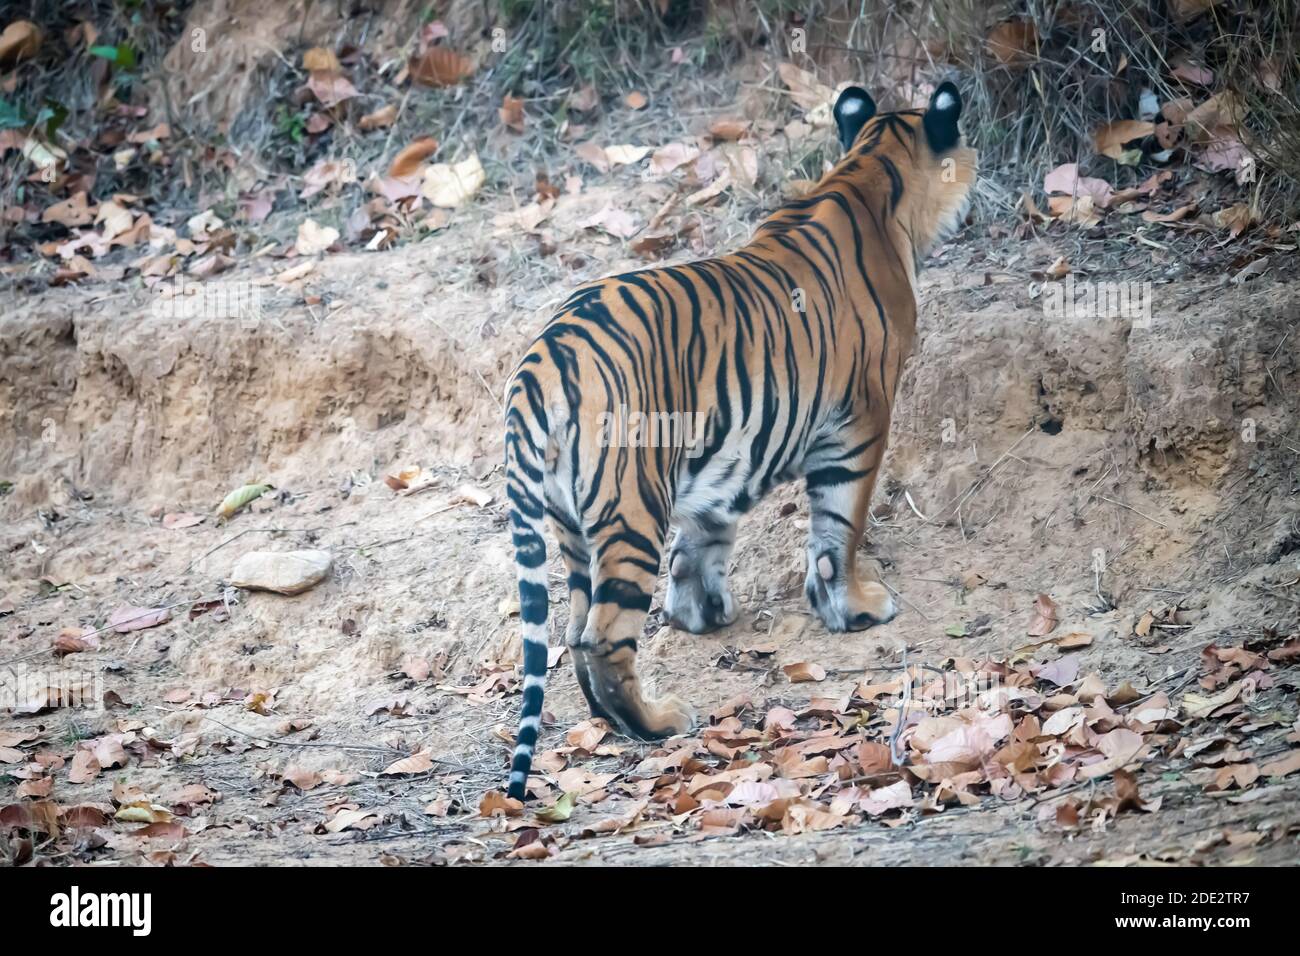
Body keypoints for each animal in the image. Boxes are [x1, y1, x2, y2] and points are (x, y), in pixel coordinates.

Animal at [502, 81, 977, 799]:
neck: (869, 172)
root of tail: (540, 360)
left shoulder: (719, 455)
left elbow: (702, 541)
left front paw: (701, 612)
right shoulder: (860, 422)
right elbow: (838, 530)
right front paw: (853, 608)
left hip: (569, 521)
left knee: (576, 628)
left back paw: (609, 719)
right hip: (632, 504)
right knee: (604, 636)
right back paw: (659, 722)